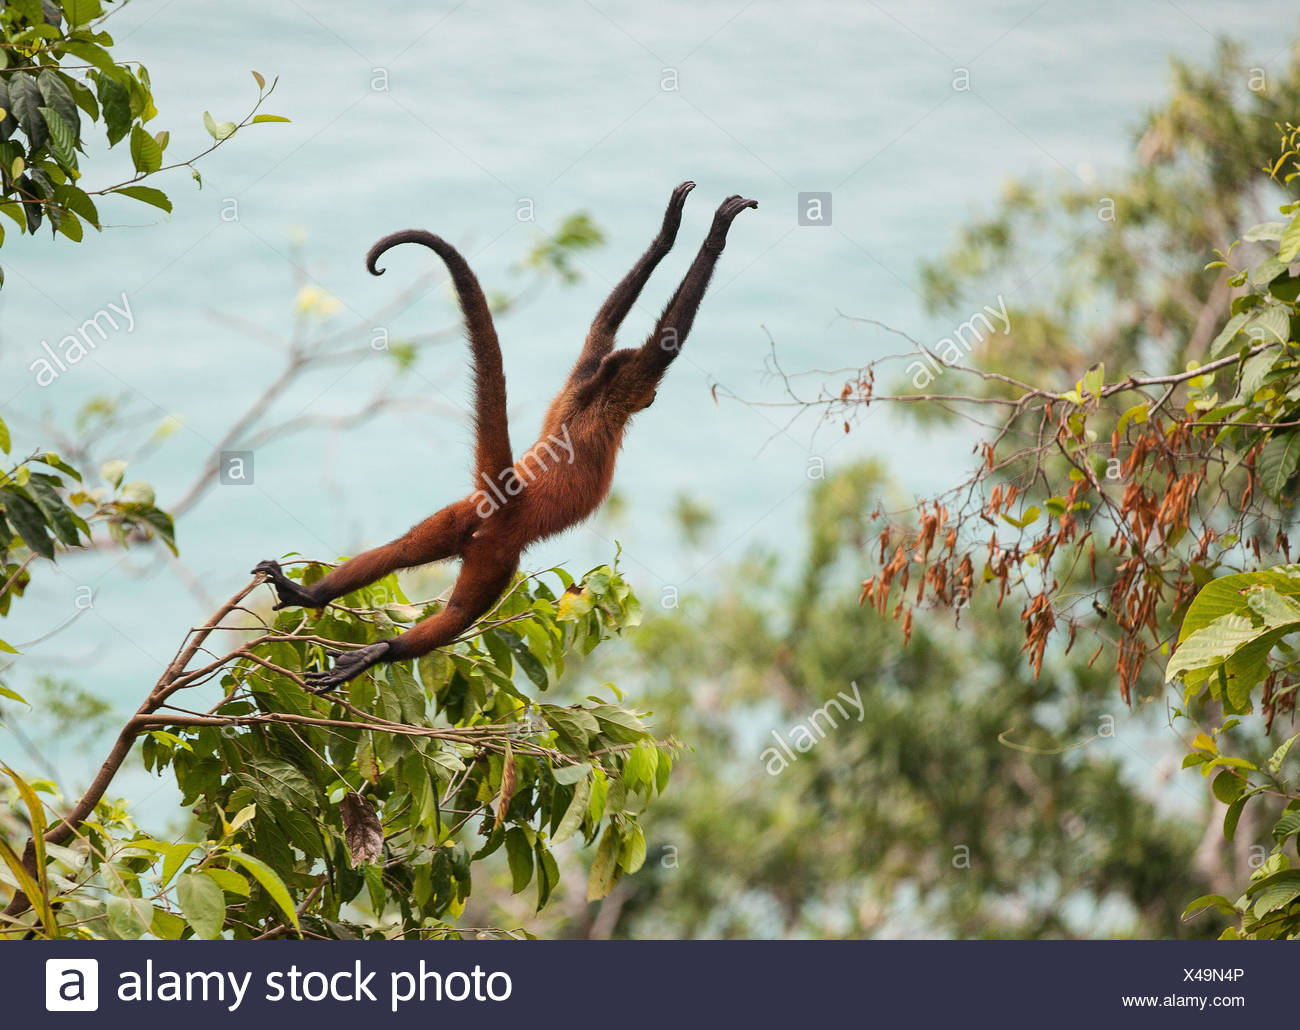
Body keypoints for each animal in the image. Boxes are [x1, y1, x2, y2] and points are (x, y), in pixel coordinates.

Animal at [253, 182, 756, 691]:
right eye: (647, 393)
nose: (652, 399)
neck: (595, 396)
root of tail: (507, 493)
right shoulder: (621, 383)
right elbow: (665, 341)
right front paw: (714, 234)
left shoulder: (584, 372)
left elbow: (602, 326)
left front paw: (666, 235)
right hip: (499, 551)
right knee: (460, 612)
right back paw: (381, 651)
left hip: (460, 517)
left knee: (402, 550)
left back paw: (310, 596)